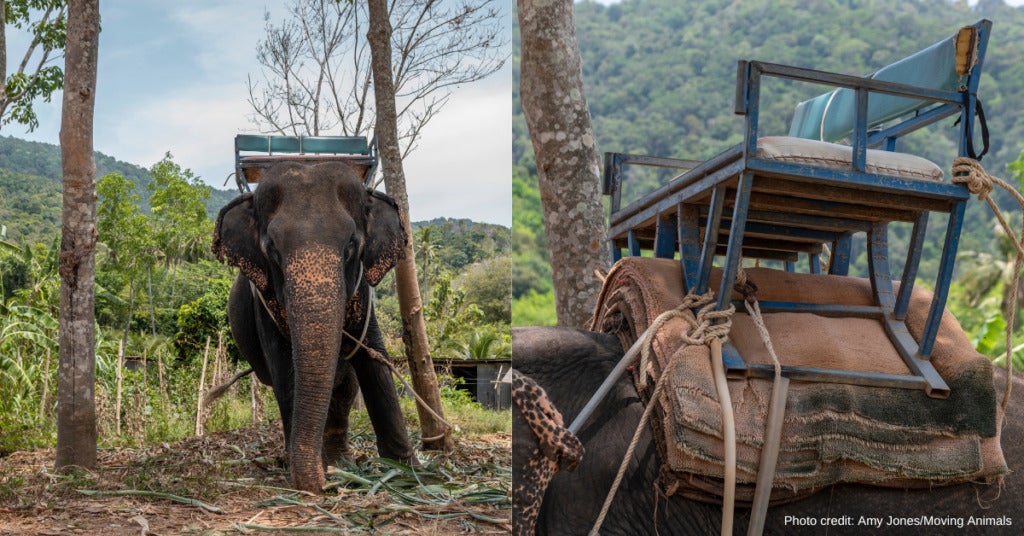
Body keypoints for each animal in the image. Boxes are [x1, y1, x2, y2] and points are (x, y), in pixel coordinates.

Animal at [212, 161, 415, 492]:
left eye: (351, 245)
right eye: (273, 250)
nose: (323, 484)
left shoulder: (362, 294)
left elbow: (373, 360)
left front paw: (408, 471)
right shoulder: (263, 305)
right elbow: (285, 371)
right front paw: (310, 473)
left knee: (344, 389)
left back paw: (341, 461)